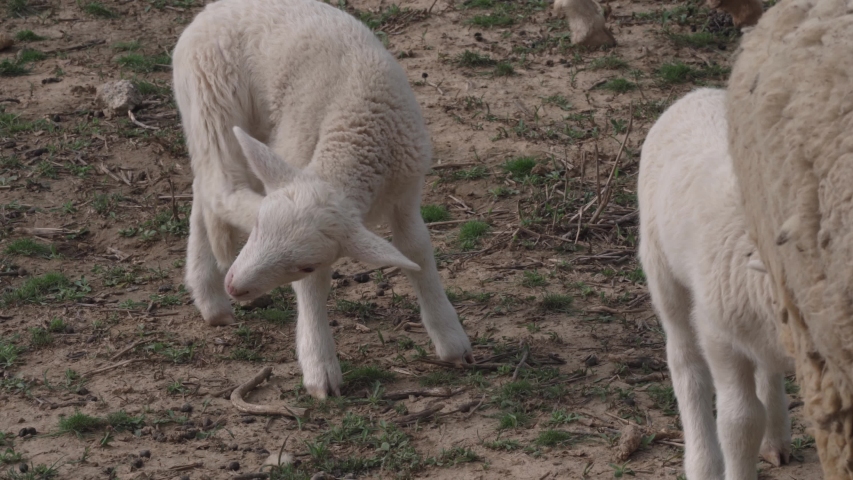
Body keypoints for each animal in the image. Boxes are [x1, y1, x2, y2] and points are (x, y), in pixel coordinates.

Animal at [172, 0, 474, 399]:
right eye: (258, 228)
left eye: (304, 264)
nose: (235, 286)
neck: (357, 133)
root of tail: (212, 8)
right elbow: (315, 289)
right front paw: (320, 366)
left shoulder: (407, 192)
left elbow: (417, 250)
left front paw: (450, 337)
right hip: (212, 96)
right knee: (220, 183)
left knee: (202, 184)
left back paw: (209, 294)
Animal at [638, 88, 793, 480]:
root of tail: (699, 93)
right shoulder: (719, 336)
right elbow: (739, 422)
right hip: (664, 273)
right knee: (686, 364)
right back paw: (702, 463)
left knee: (768, 366)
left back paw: (776, 439)